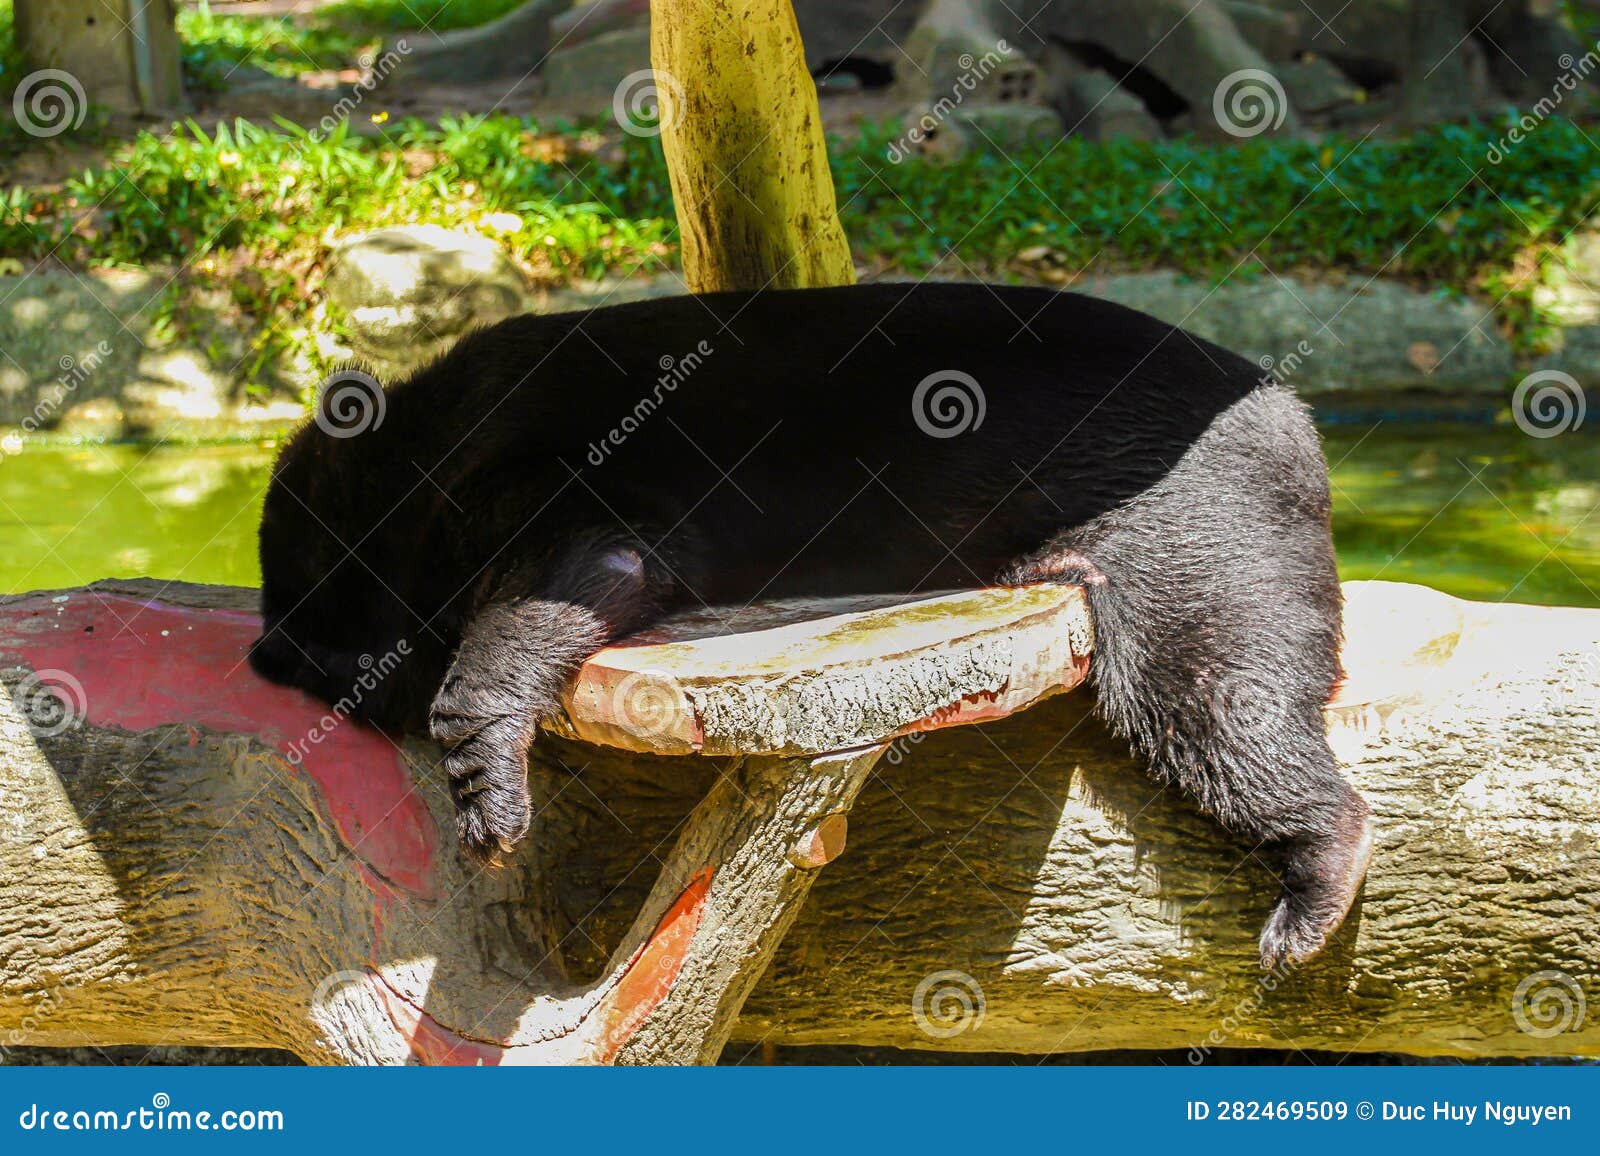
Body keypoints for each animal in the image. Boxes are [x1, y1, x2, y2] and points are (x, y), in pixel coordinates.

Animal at [249, 281, 1373, 968]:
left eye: (326, 647)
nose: (278, 655)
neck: (413, 473)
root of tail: (1299, 418)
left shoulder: (550, 469)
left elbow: (575, 572)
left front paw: (487, 797)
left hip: (1193, 515)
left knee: (1213, 684)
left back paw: (1311, 889)